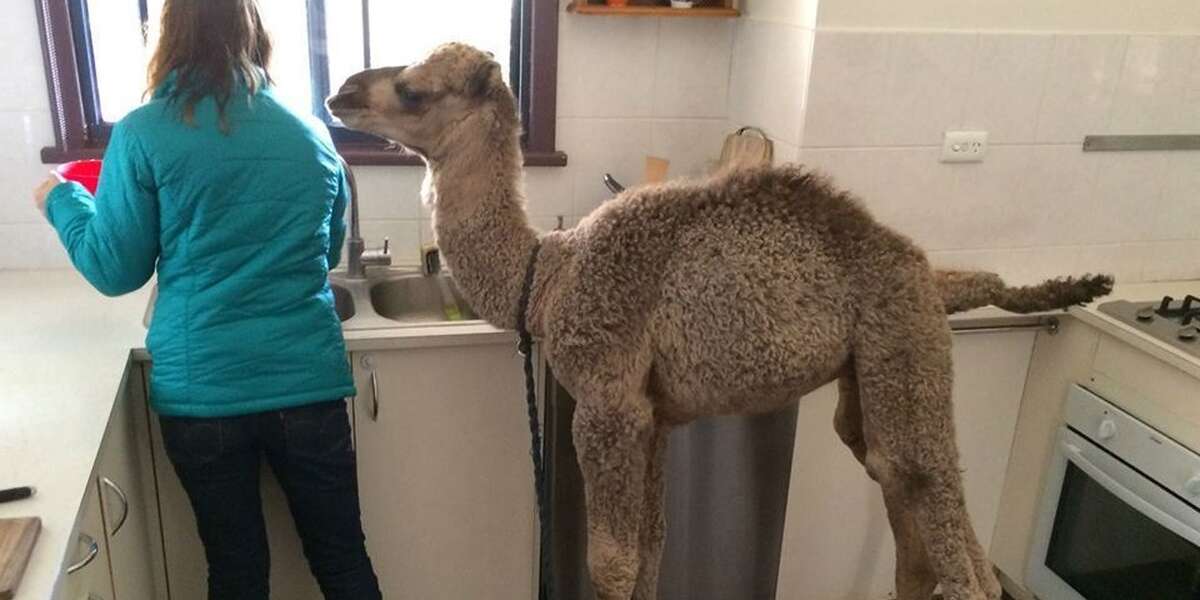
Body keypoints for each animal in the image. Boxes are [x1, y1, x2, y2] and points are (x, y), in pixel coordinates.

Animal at [327, 43, 1112, 600]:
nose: (338, 93)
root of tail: (908, 263)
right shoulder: (654, 416)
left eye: (413, 88)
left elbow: (612, 564)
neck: (546, 278)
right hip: (886, 364)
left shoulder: (607, 405)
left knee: (953, 537)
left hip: (905, 345)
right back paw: (1079, 284)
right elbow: (652, 552)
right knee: (910, 502)